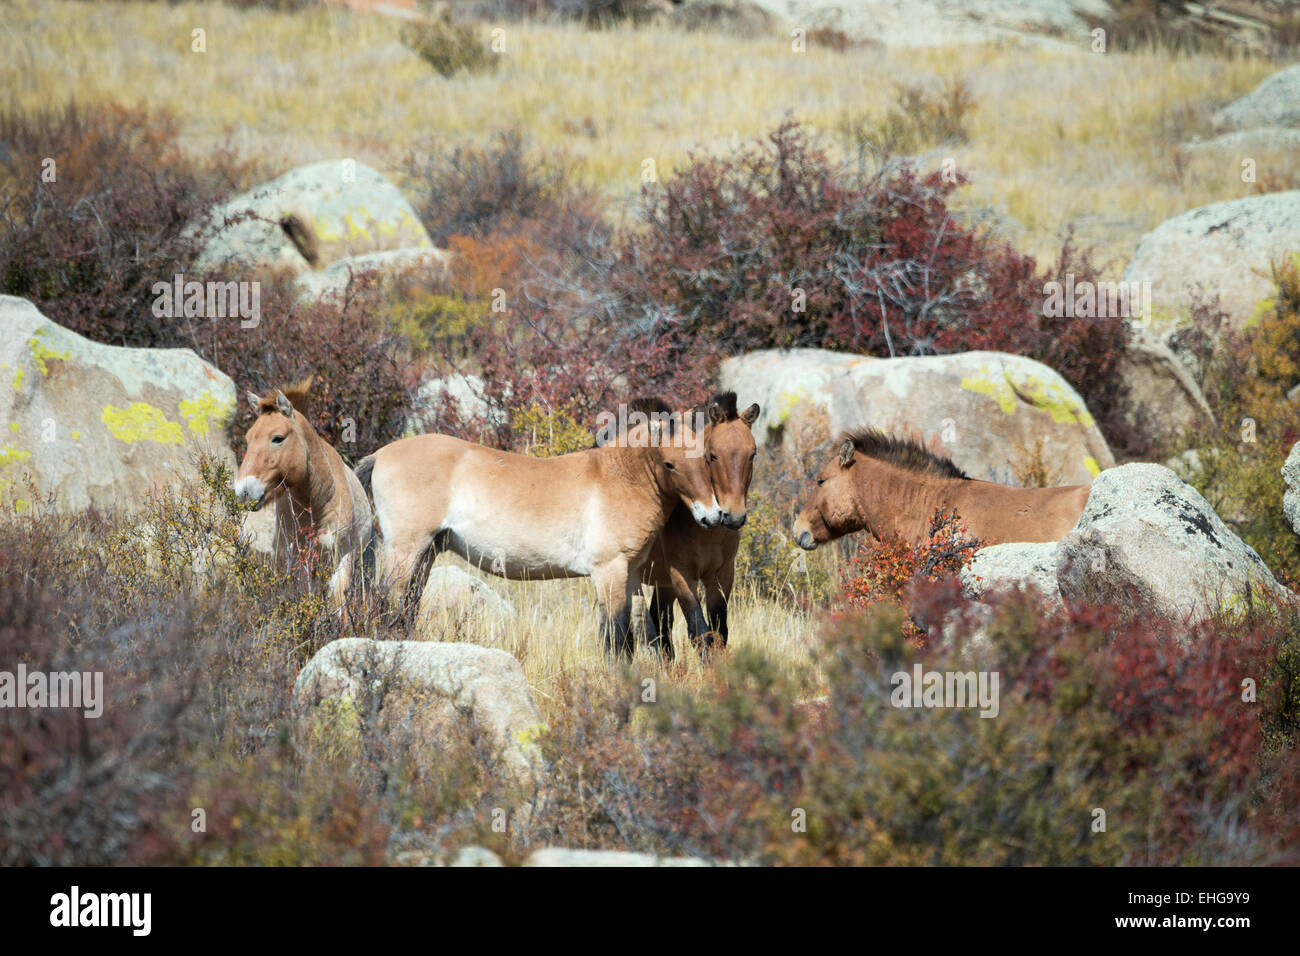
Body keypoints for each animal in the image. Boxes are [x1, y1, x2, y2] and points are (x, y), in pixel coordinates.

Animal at [232, 378, 374, 613]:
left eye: (277, 438)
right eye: (249, 438)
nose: (243, 491)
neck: (318, 502)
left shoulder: (343, 558)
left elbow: (338, 605)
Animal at [357, 403, 722, 658]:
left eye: (706, 458)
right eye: (670, 464)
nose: (711, 516)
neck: (618, 478)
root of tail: (379, 455)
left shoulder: (629, 573)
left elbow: (640, 633)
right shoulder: (608, 571)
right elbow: (616, 638)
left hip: (426, 552)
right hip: (405, 550)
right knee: (386, 604)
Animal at [603, 393, 759, 660]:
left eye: (752, 454)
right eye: (712, 455)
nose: (734, 517)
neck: (708, 532)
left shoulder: (721, 576)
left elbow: (720, 632)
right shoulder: (682, 576)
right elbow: (699, 631)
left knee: (660, 625)